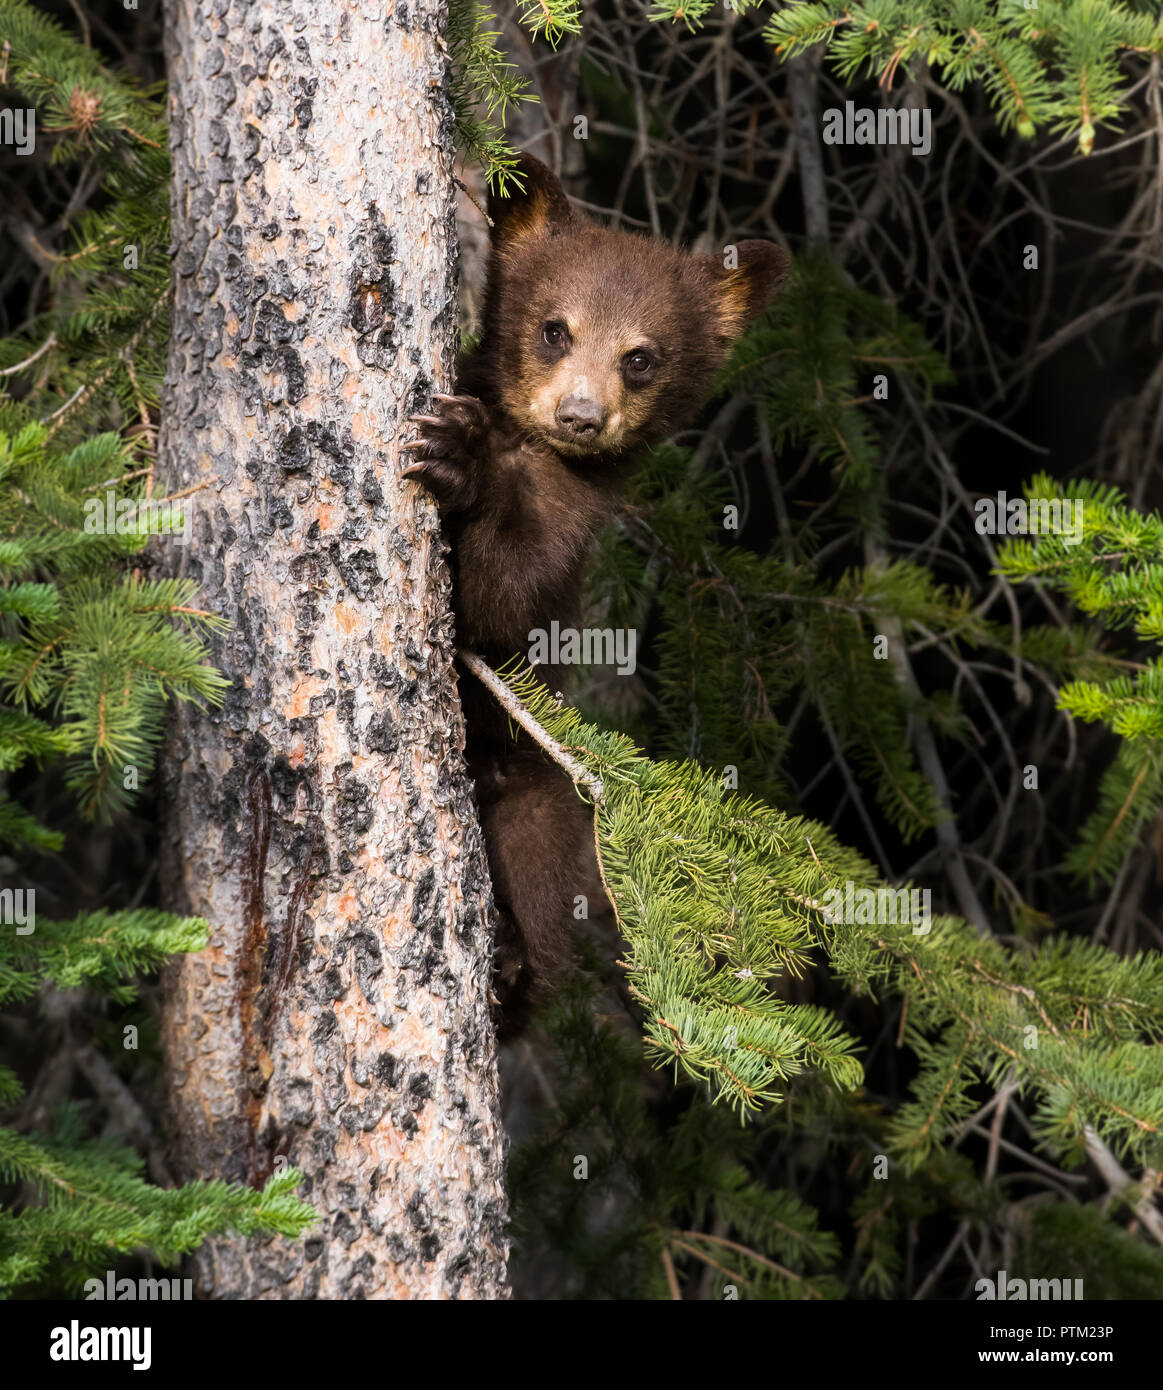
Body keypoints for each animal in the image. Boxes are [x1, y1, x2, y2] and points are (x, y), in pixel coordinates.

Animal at [401, 152, 790, 1034]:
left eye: (640, 356)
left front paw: (459, 453)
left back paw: (511, 962)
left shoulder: (569, 531)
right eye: (555, 328)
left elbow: (501, 601)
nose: (579, 416)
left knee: (541, 874)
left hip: (537, 789)